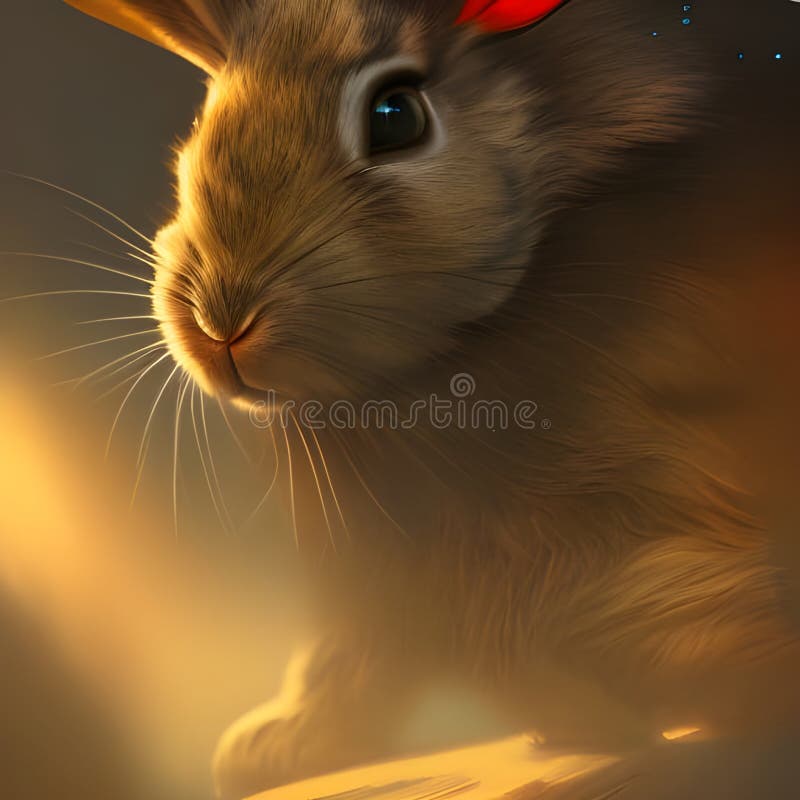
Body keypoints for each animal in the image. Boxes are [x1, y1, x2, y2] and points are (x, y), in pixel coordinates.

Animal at [63, 1, 800, 798]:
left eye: (395, 116)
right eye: (205, 115)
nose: (222, 321)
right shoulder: (377, 586)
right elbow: (358, 662)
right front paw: (272, 748)